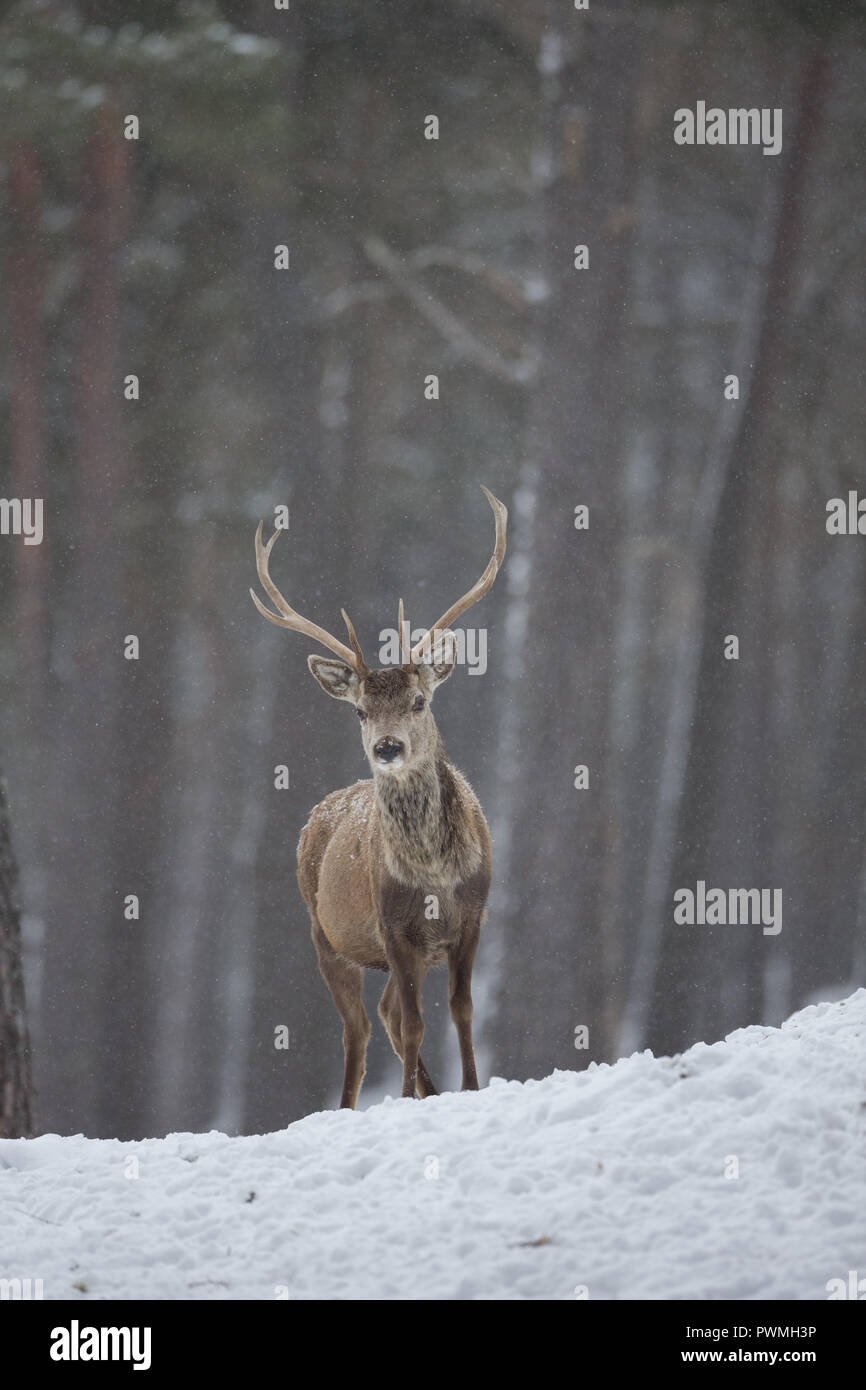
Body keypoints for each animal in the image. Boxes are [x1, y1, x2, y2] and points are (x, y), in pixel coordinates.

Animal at [250, 485, 507, 1108]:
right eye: (360, 711)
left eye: (419, 701)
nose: (388, 747)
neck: (434, 874)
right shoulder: (393, 925)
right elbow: (413, 1023)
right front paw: (416, 1097)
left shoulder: (473, 914)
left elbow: (462, 1008)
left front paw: (469, 1087)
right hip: (323, 931)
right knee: (362, 1027)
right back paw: (355, 1105)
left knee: (385, 1013)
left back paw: (425, 1091)